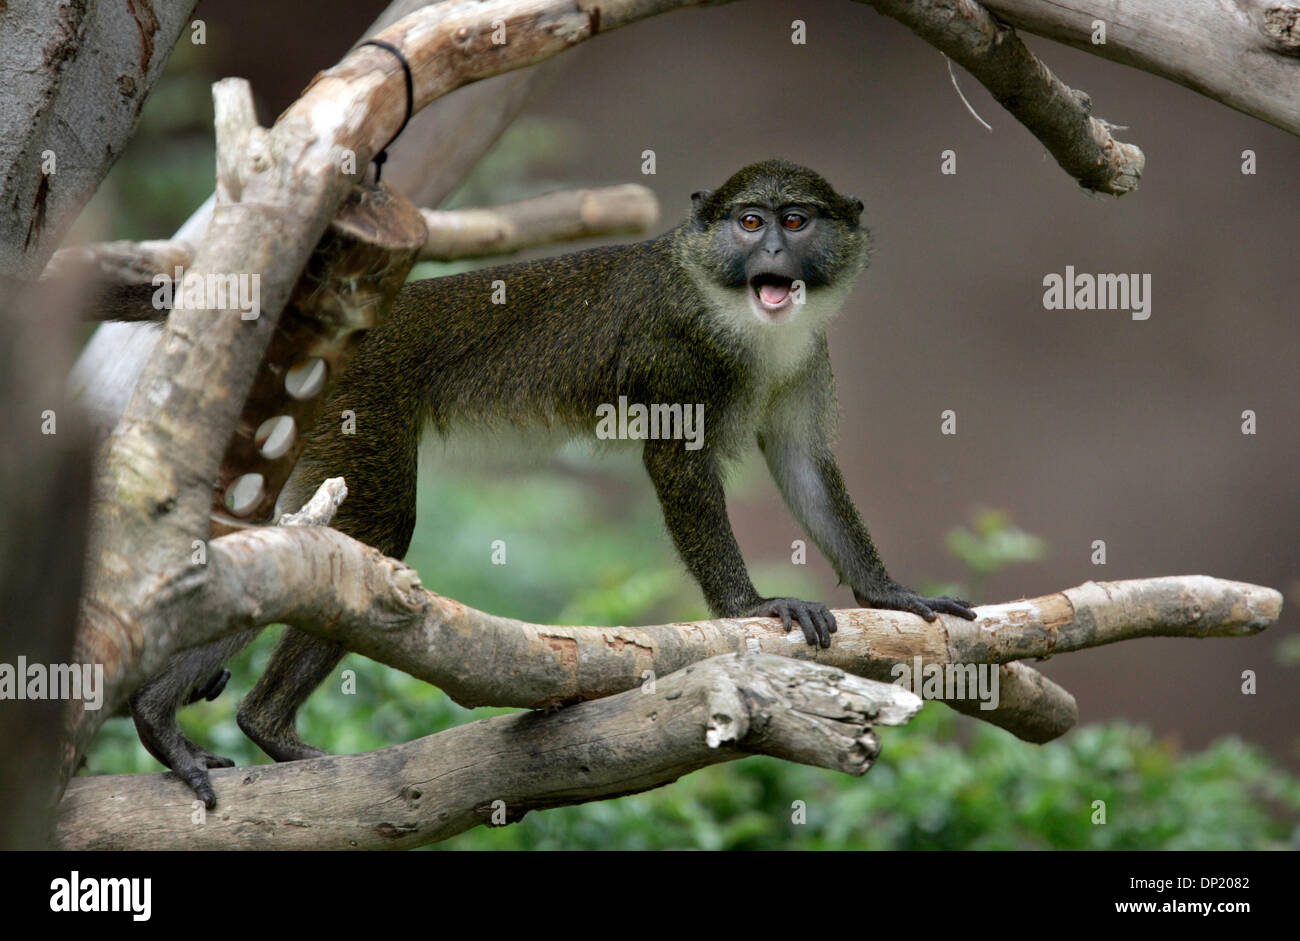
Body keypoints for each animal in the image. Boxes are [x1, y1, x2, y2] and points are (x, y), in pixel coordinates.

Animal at [124, 160, 976, 806]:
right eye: (747, 221)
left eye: (796, 221)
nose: (768, 245)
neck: (738, 312)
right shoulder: (675, 357)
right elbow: (677, 464)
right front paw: (750, 606)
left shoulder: (806, 363)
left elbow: (804, 466)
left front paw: (888, 591)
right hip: (355, 404)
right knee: (363, 538)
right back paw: (185, 720)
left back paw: (232, 724)